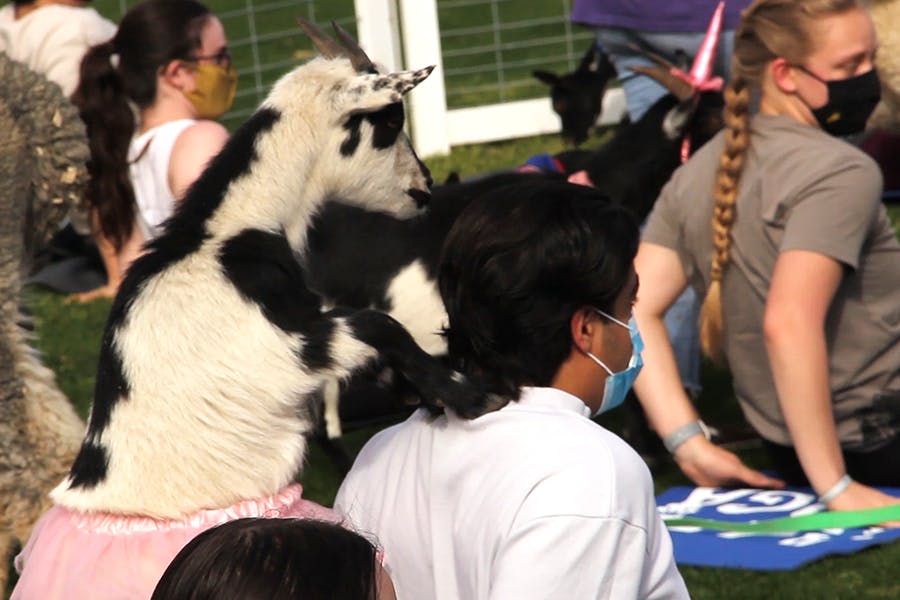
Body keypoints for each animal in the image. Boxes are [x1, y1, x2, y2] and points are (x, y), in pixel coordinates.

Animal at [13, 20, 491, 598]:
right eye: (389, 121)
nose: (424, 189)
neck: (226, 232)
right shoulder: (293, 347)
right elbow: (381, 323)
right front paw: (463, 394)